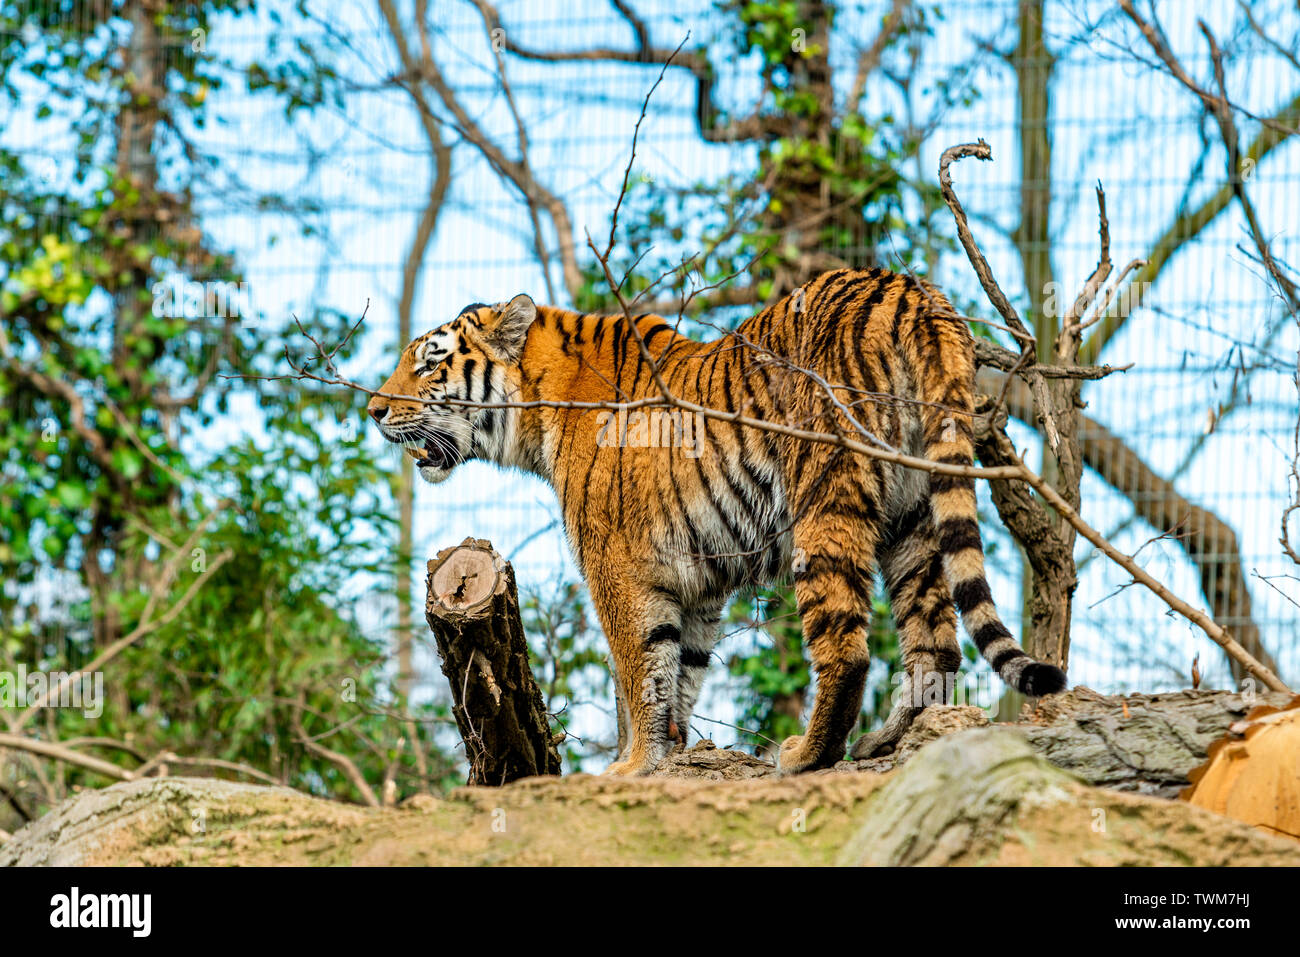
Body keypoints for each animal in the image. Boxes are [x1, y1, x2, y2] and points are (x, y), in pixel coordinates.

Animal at [367, 268, 1067, 775]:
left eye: (429, 363)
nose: (372, 410)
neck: (537, 407)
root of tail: (908, 290)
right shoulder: (698, 582)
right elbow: (681, 671)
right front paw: (672, 755)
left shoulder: (617, 567)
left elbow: (639, 674)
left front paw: (633, 765)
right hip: (912, 516)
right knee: (936, 642)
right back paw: (890, 742)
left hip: (825, 496)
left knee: (848, 647)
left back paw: (808, 755)